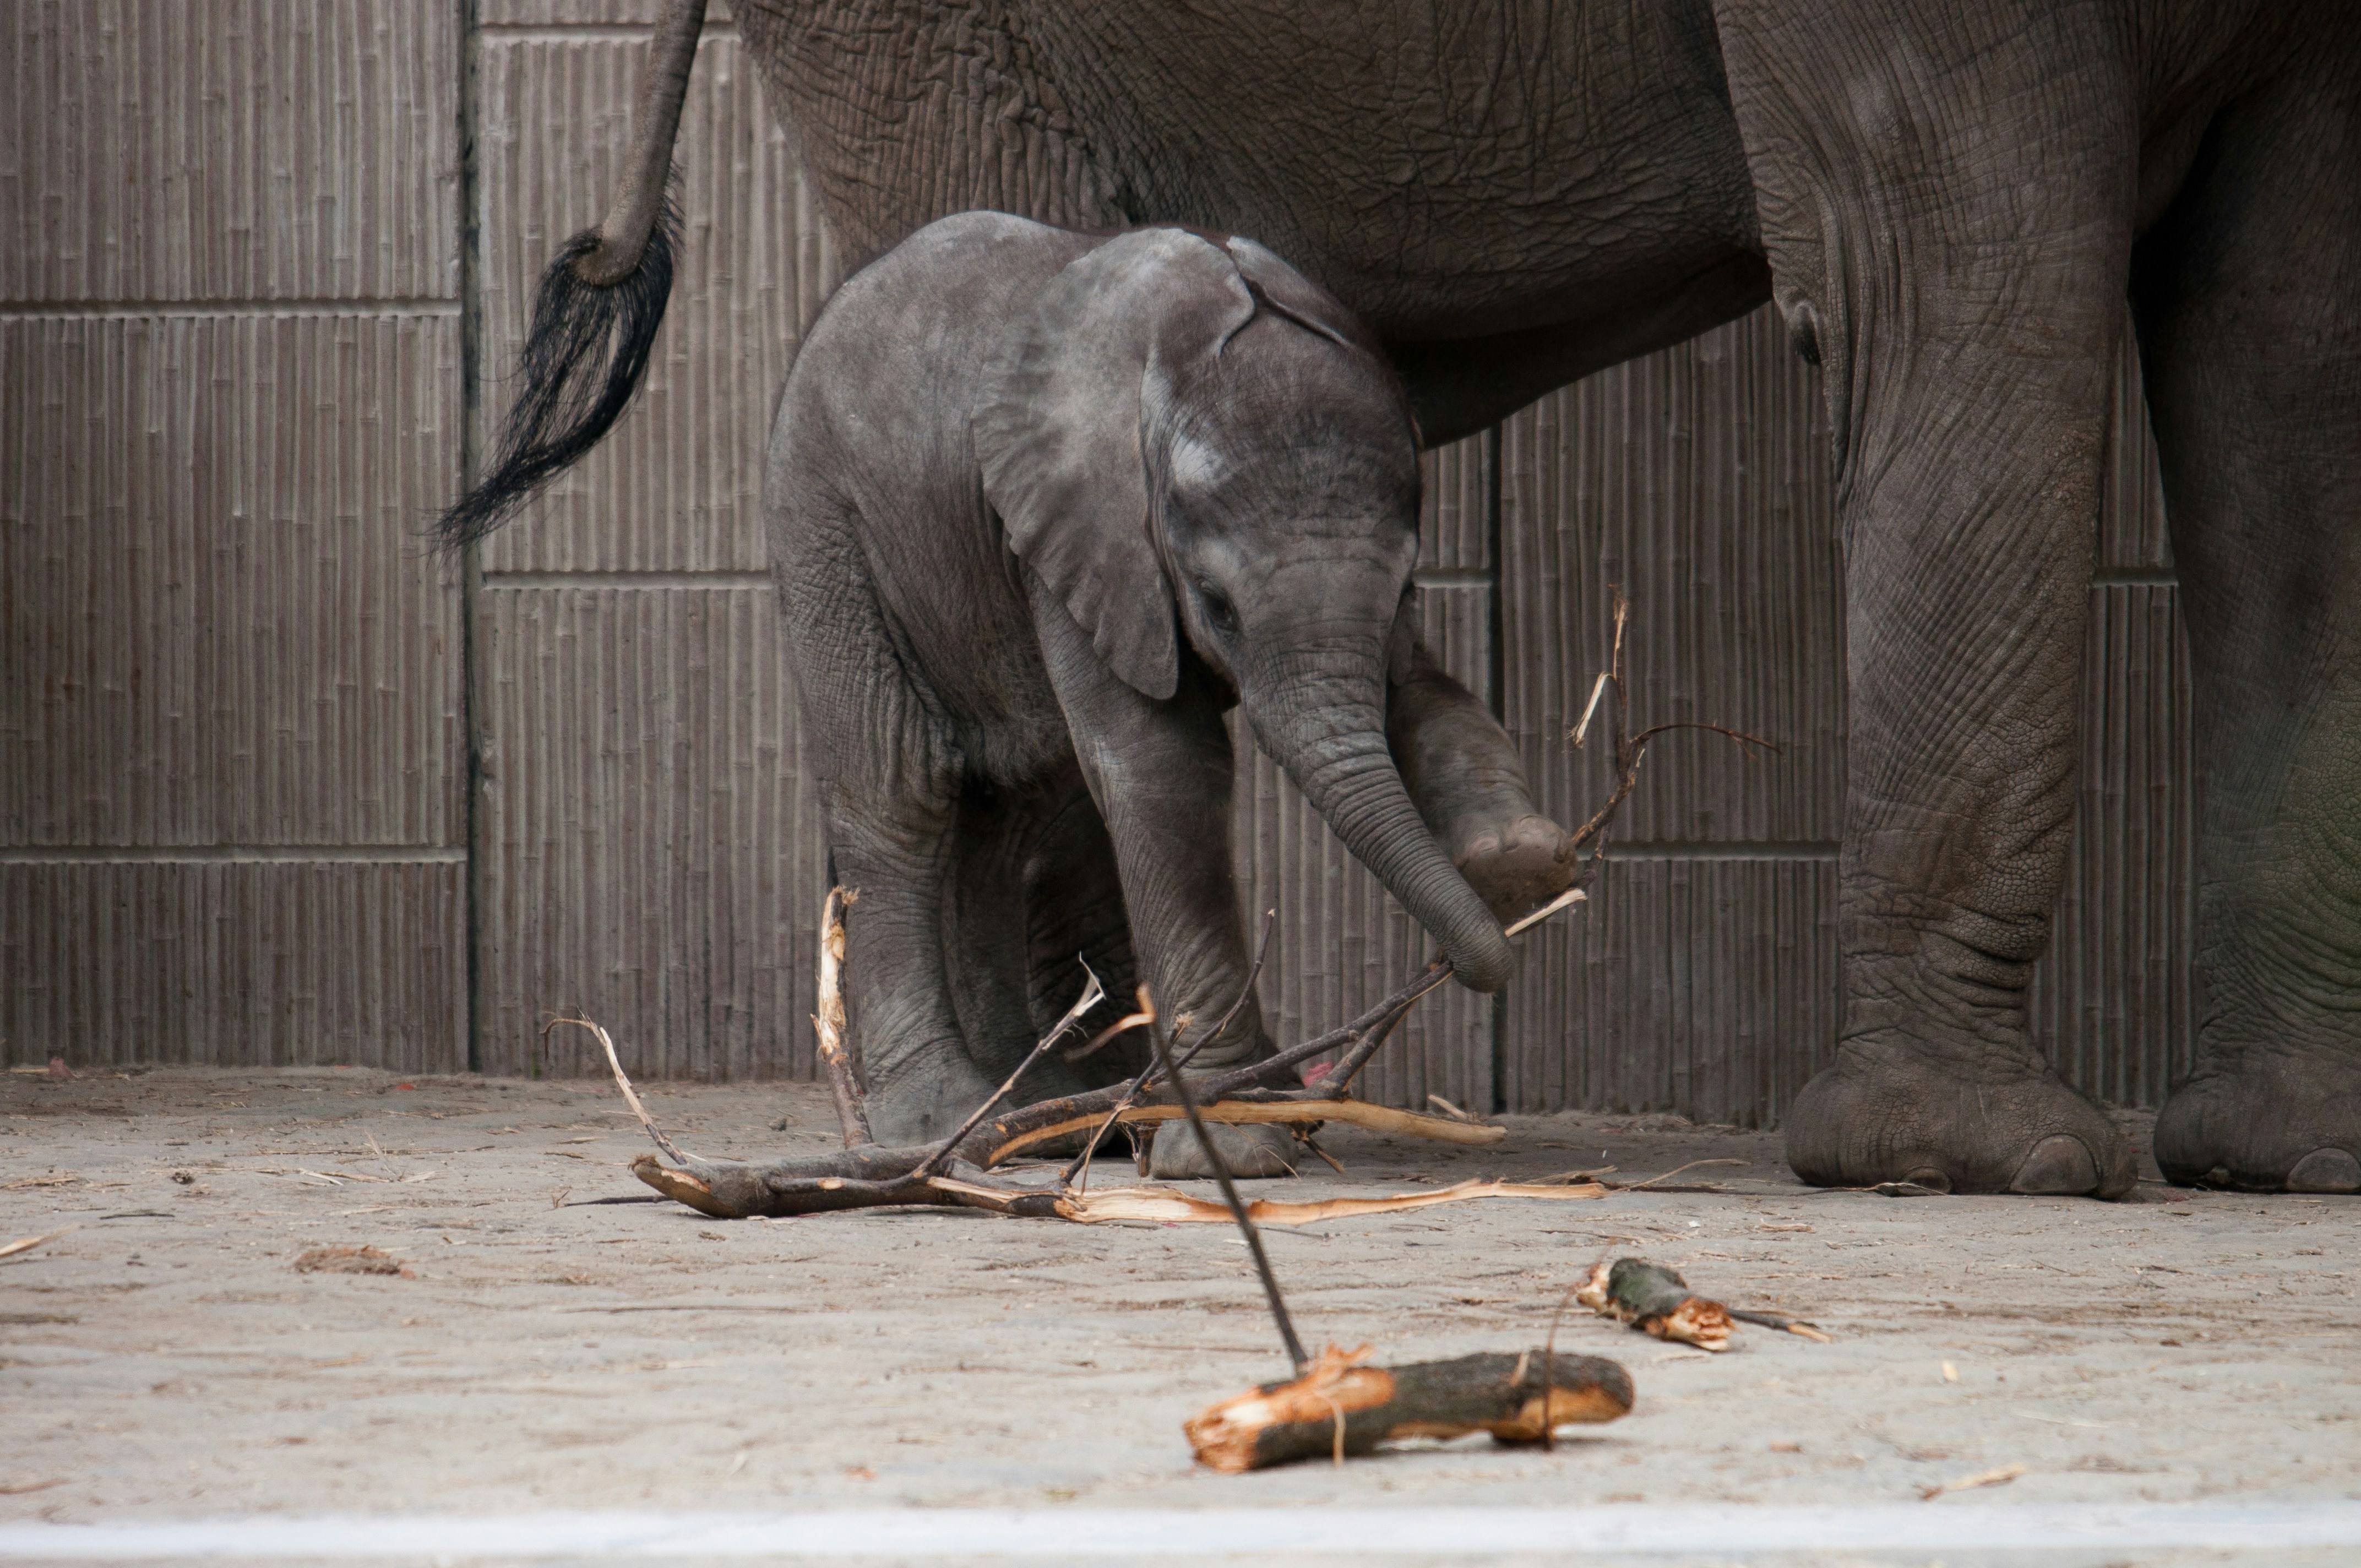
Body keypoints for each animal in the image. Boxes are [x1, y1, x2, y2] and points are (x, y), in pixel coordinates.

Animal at [443, 0, 2361, 1197]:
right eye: (1213, 602)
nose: (1493, 941)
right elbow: (1960, 283)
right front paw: (1983, 1158)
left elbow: (2290, 354)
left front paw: (2303, 1151)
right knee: (922, 778)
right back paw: (1026, 1123)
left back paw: (1068, 1116)